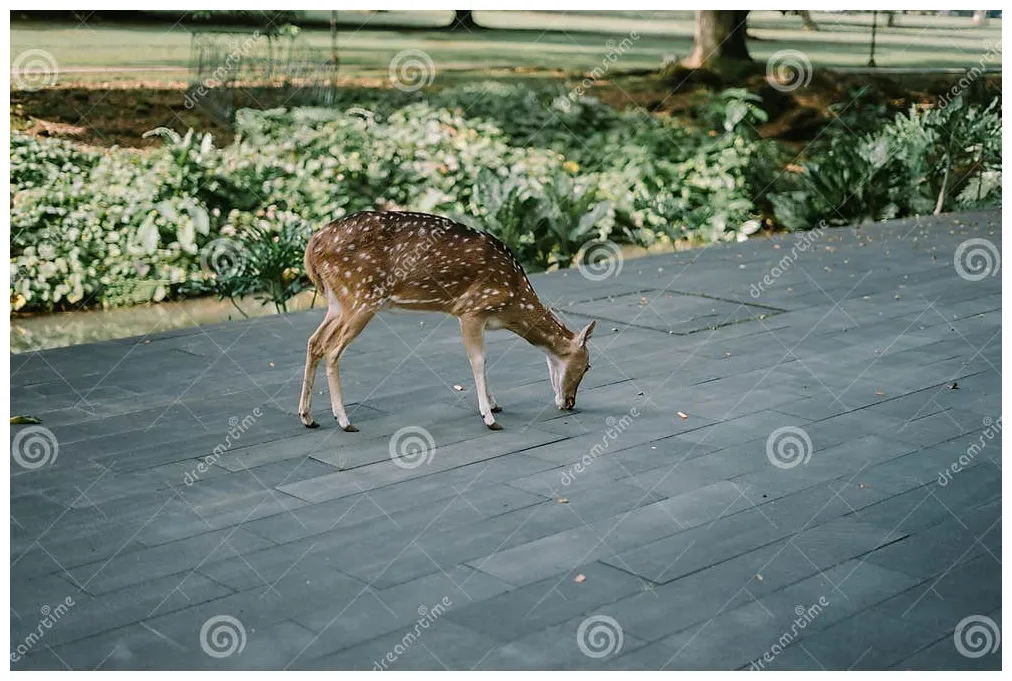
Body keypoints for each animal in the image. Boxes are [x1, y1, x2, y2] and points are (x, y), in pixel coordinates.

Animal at [298, 211, 596, 432]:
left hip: (337, 302)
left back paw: (308, 417)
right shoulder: (471, 309)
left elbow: (484, 360)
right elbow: (478, 360)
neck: (511, 301)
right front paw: (489, 417)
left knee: (315, 341)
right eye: (588, 366)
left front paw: (495, 404)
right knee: (332, 350)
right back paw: (344, 420)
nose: (570, 403)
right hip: (361, 296)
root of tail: (312, 246)